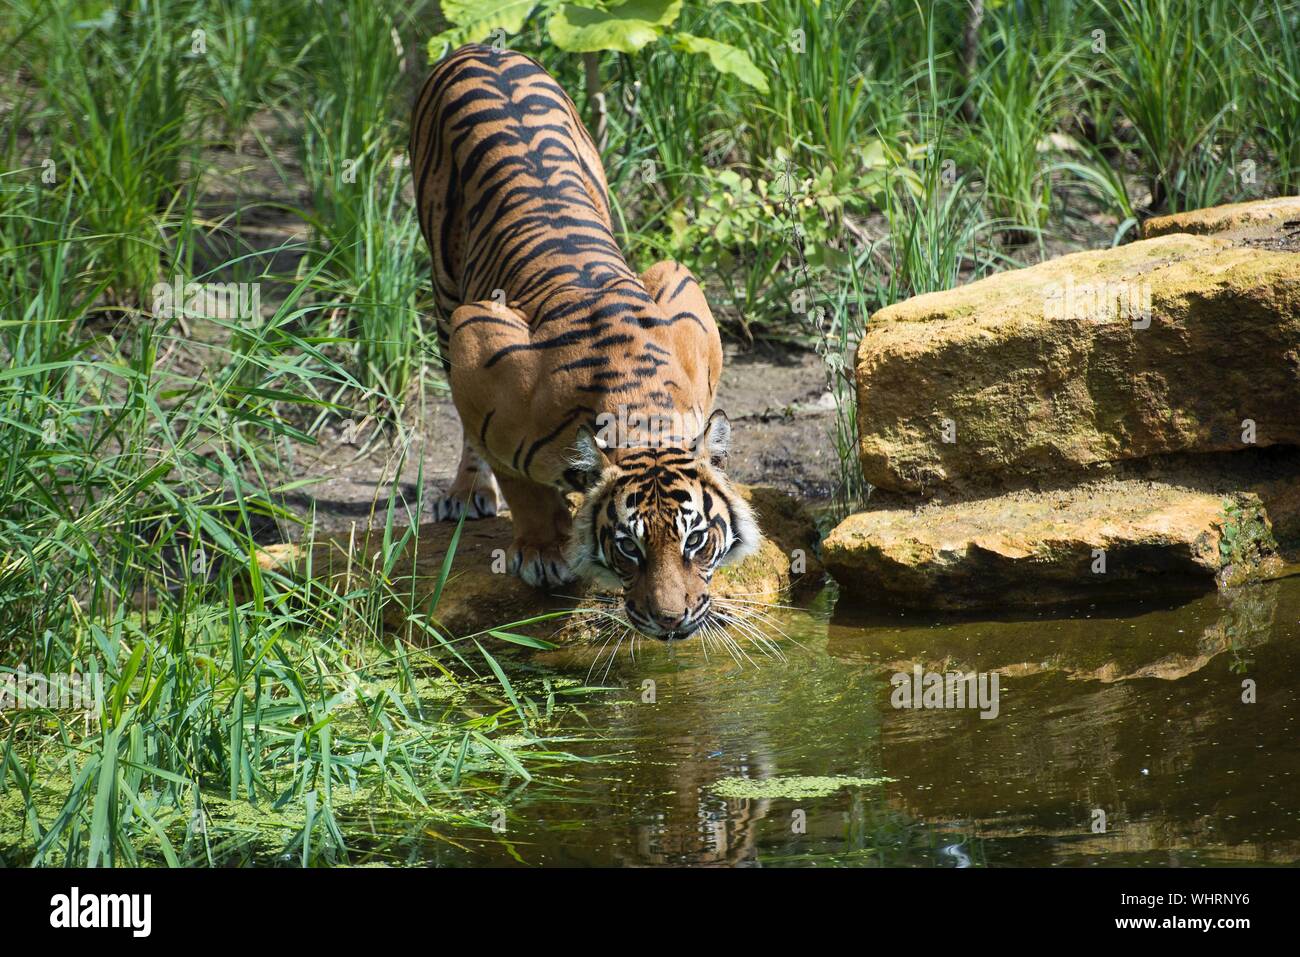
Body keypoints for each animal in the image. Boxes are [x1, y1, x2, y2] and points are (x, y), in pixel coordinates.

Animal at [408, 43, 759, 640]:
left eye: (695, 539)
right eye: (629, 547)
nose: (672, 622)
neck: (642, 413)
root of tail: (483, 48)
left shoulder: (680, 284)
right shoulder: (480, 344)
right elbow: (517, 478)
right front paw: (543, 550)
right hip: (447, 292)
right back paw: (466, 494)